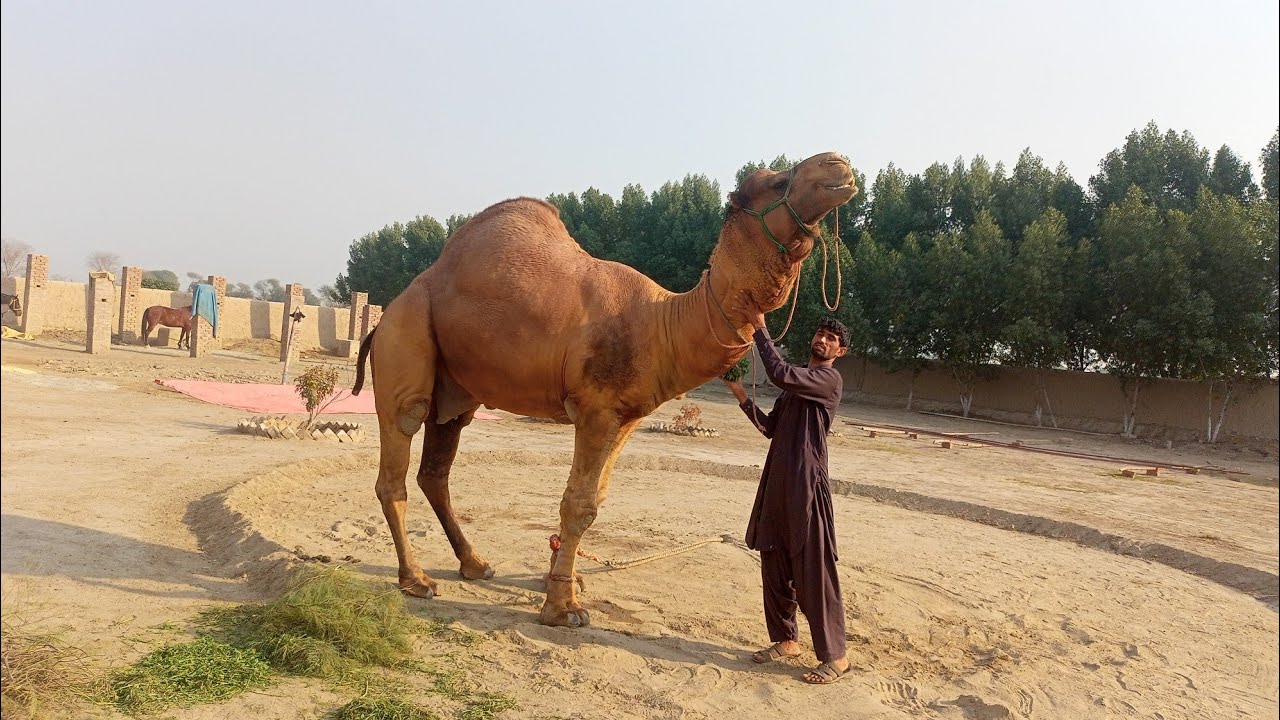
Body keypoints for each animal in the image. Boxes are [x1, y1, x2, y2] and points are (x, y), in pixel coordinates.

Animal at [352, 151, 857, 627]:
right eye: (775, 180)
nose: (839, 163)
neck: (662, 323)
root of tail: (388, 312)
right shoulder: (595, 409)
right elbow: (577, 503)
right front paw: (562, 608)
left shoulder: (627, 416)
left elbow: (596, 498)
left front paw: (566, 580)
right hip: (407, 334)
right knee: (399, 449)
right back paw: (416, 579)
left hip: (456, 387)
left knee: (436, 467)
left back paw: (475, 564)